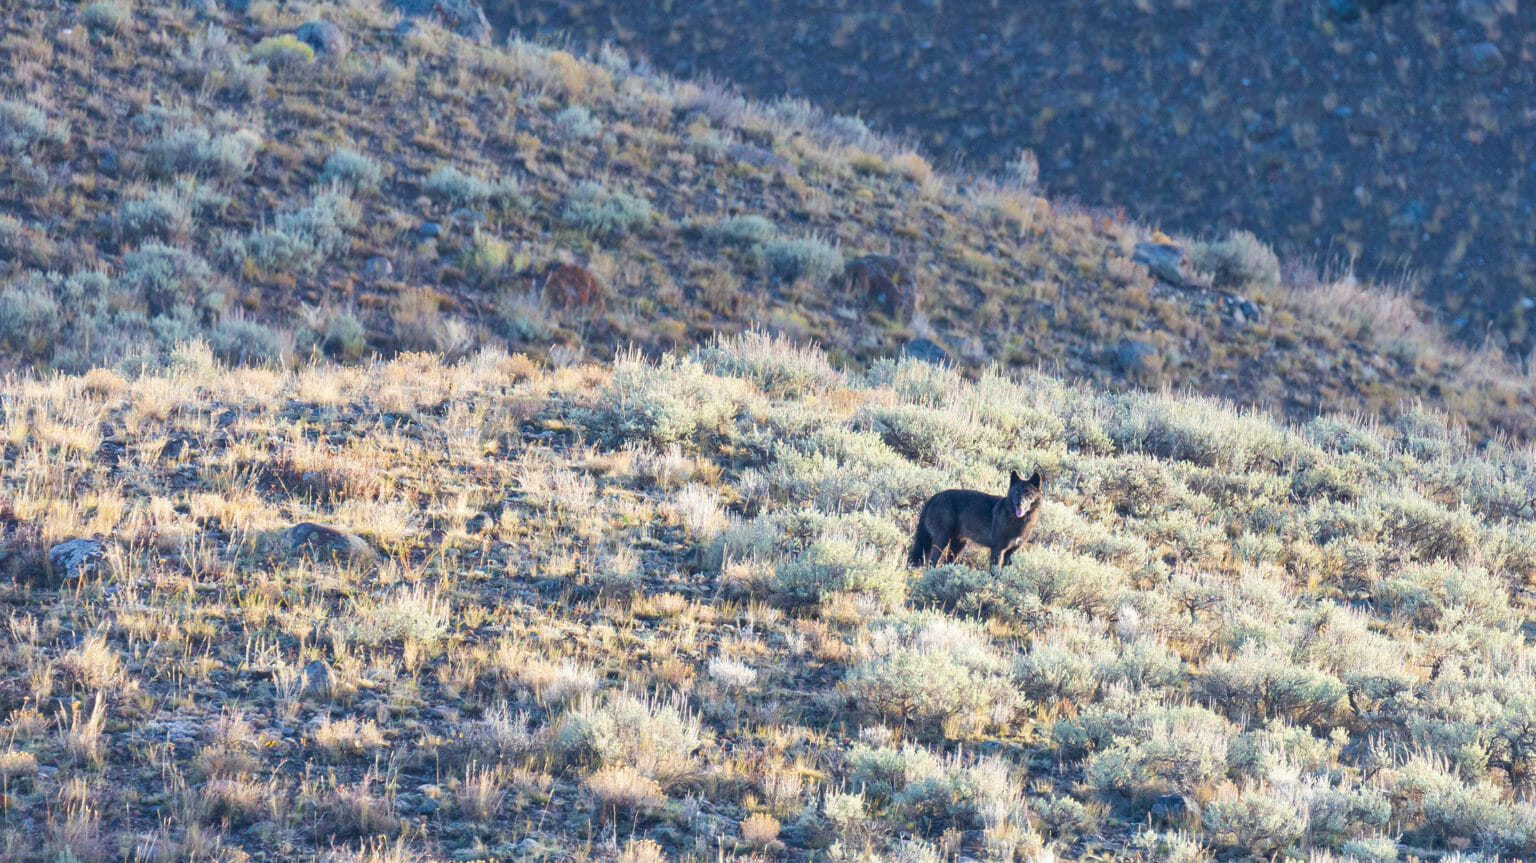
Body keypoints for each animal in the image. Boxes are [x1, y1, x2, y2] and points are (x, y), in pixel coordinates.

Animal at [907, 470, 1043, 569]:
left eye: (1028, 493)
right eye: (1016, 492)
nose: (1019, 504)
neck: (1017, 522)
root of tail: (933, 497)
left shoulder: (1010, 553)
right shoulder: (998, 549)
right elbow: (994, 572)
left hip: (958, 545)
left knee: (946, 562)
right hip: (942, 540)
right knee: (932, 562)